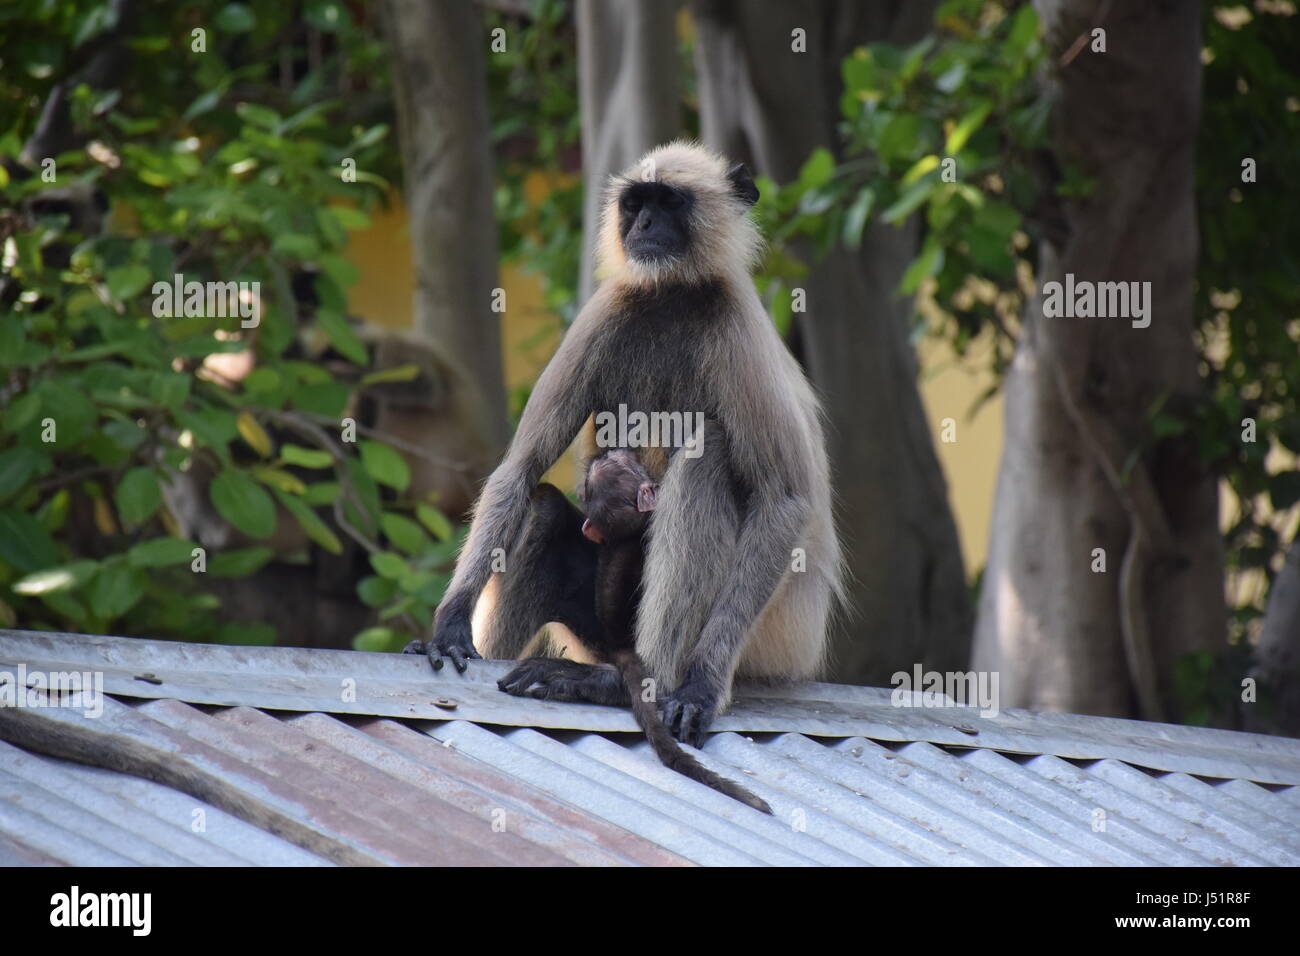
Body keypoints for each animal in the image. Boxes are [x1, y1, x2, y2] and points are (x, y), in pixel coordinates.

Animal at [419, 141, 843, 747]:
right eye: (636, 203)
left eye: (668, 202)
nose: (643, 225)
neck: (671, 294)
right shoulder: (607, 310)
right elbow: (519, 469)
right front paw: (451, 623)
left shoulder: (737, 327)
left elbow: (784, 500)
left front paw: (699, 687)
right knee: (545, 510)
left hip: (770, 638)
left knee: (709, 453)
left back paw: (639, 684)